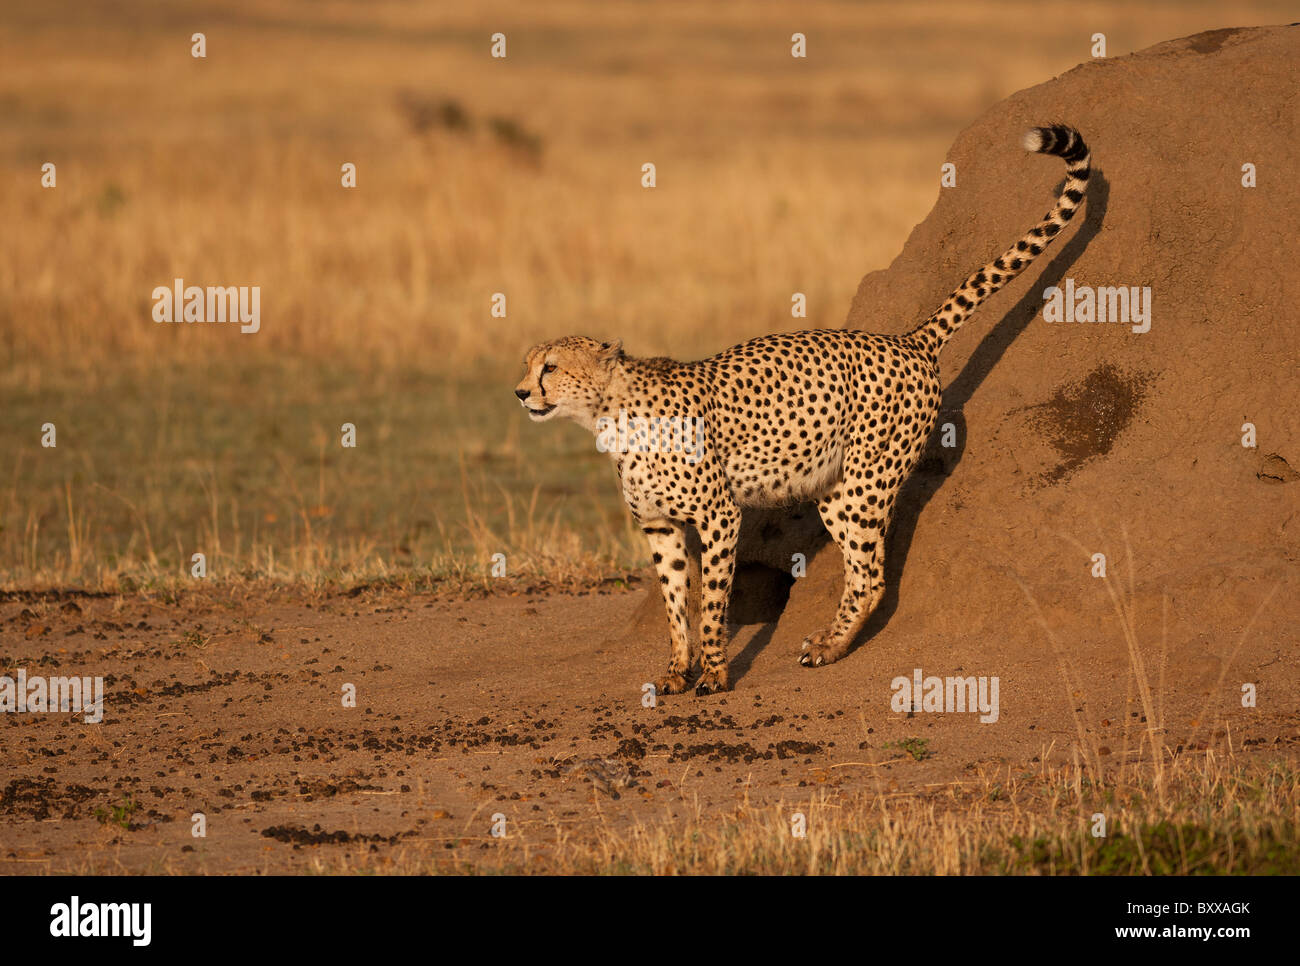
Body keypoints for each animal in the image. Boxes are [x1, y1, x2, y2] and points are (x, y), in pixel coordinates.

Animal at [514, 125, 1091, 696]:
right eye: (528, 364)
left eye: (550, 367)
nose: (520, 393)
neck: (611, 413)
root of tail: (906, 340)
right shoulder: (660, 525)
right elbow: (675, 603)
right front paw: (677, 670)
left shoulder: (720, 515)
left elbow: (712, 600)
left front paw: (715, 673)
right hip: (836, 490)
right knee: (863, 571)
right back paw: (829, 644)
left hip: (865, 483)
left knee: (871, 574)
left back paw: (829, 649)